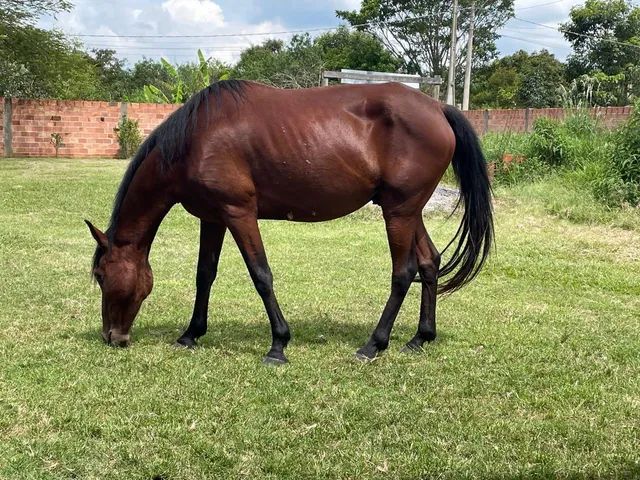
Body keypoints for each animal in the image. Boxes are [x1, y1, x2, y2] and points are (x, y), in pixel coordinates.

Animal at [86, 79, 493, 364]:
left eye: (101, 275)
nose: (112, 336)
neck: (194, 139)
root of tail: (440, 108)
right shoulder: (213, 218)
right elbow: (205, 274)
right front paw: (191, 334)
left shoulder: (239, 212)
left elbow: (261, 275)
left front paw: (278, 344)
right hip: (407, 210)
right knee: (429, 262)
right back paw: (420, 338)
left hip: (399, 213)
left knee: (403, 272)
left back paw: (373, 345)